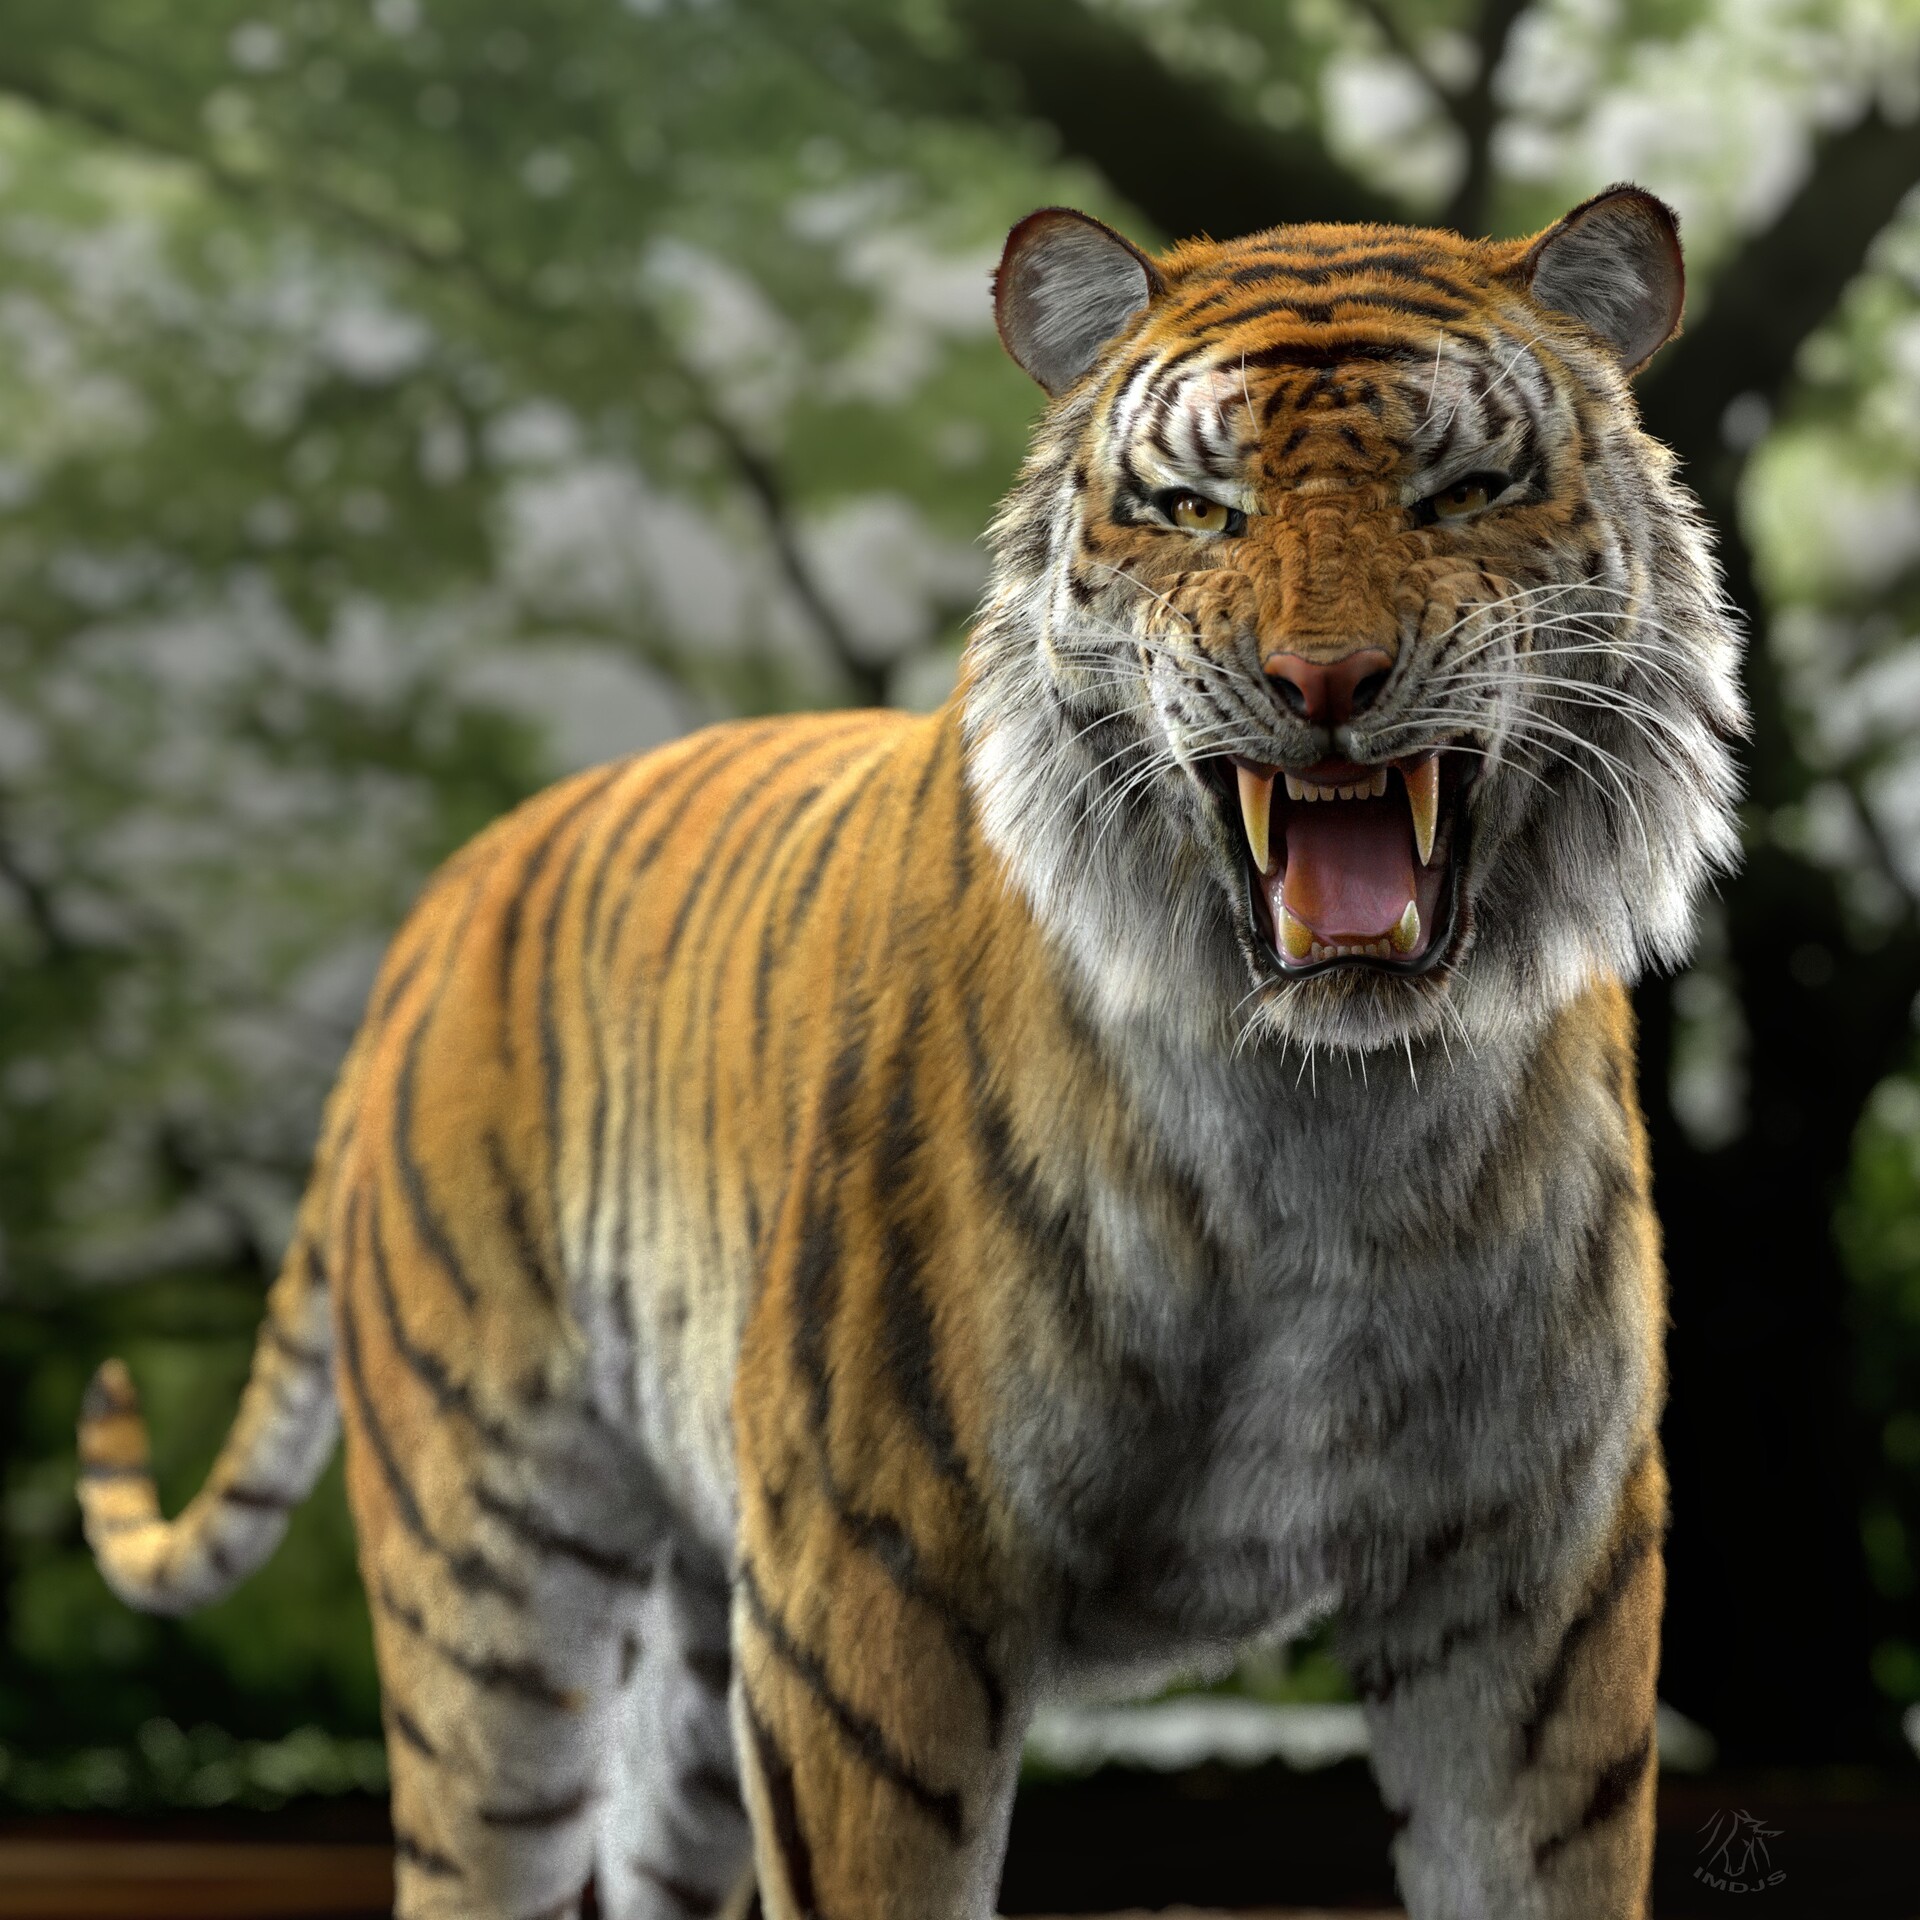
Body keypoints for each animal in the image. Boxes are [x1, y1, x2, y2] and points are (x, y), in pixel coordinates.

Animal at [78, 182, 1743, 1920]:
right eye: (1193, 508)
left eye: (1464, 490)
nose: (1325, 680)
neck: (1333, 1114)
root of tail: (443, 902)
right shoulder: (869, 1578)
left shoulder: (1536, 1569)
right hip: (493, 1573)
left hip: (700, 1637)